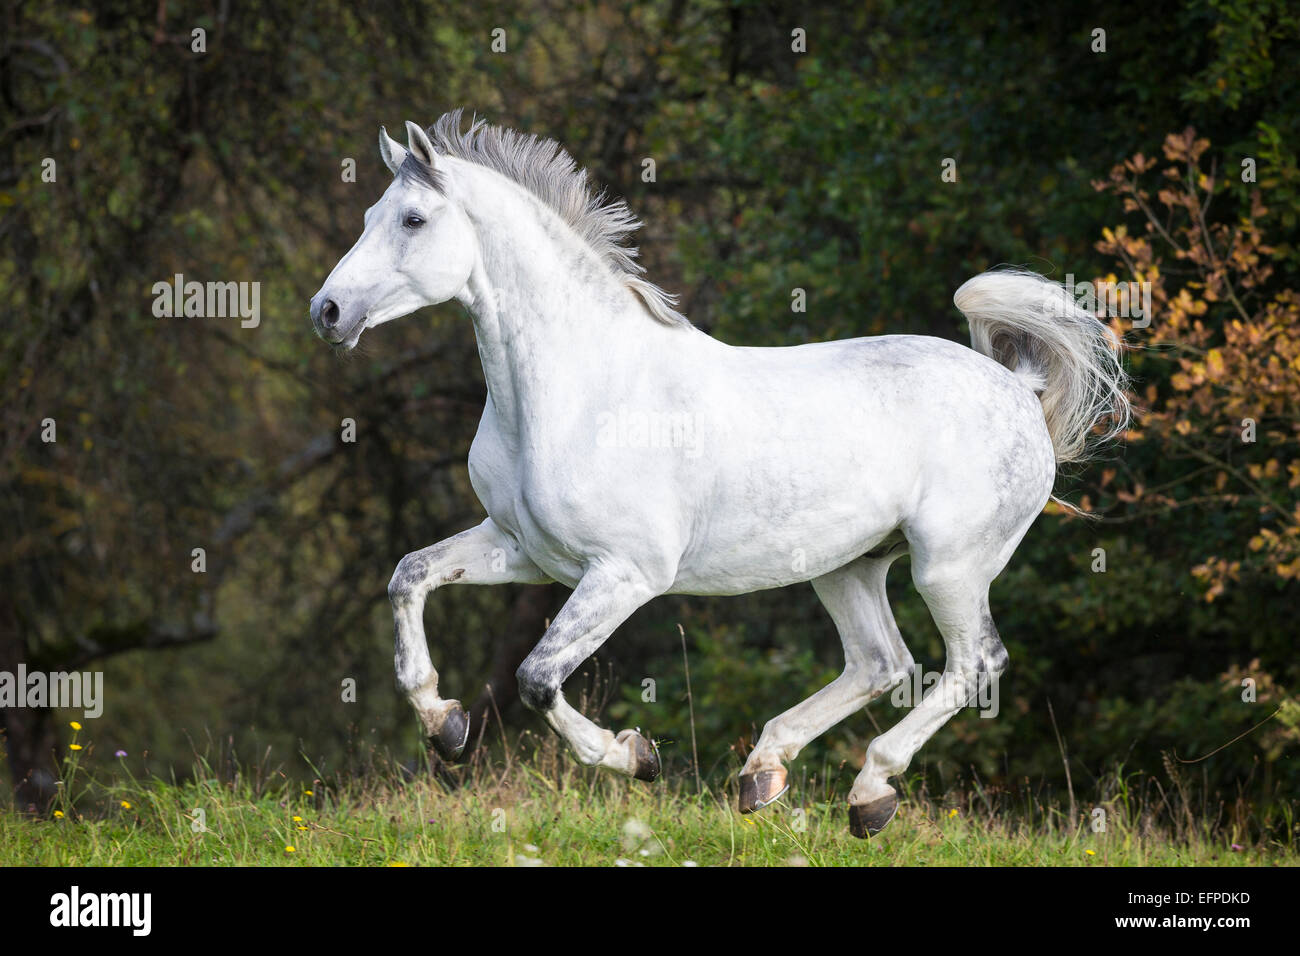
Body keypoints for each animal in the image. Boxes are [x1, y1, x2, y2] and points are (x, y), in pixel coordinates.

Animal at [309, 112, 1129, 837]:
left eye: (413, 219)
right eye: (369, 213)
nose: (328, 311)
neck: (584, 388)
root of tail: (1018, 390)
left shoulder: (627, 572)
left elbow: (537, 678)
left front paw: (634, 757)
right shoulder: (525, 550)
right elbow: (409, 576)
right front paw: (445, 727)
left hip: (949, 567)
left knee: (972, 665)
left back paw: (870, 793)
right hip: (849, 566)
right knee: (881, 663)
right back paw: (765, 775)